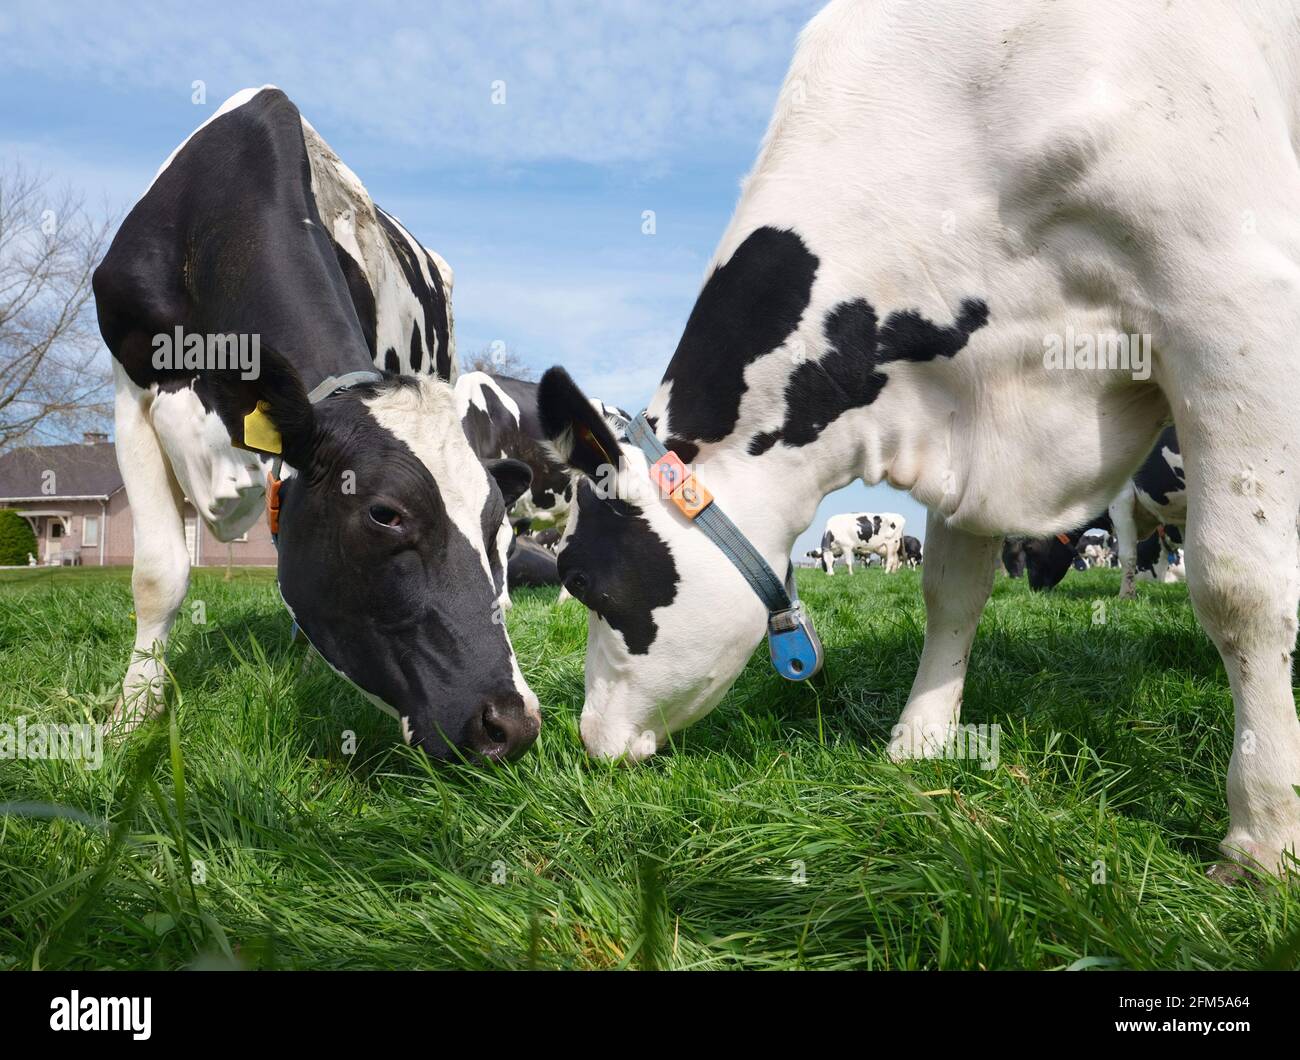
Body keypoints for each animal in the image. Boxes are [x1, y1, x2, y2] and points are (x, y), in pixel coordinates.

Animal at [92, 87, 540, 762]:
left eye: (496, 529)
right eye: (384, 514)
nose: (512, 724)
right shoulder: (132, 389)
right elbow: (157, 574)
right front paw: (131, 716)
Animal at [535, 0, 1300, 876]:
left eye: (581, 576)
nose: (589, 737)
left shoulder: (1232, 300)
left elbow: (1240, 587)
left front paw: (1261, 835)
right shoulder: (962, 405)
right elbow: (950, 591)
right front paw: (921, 743)